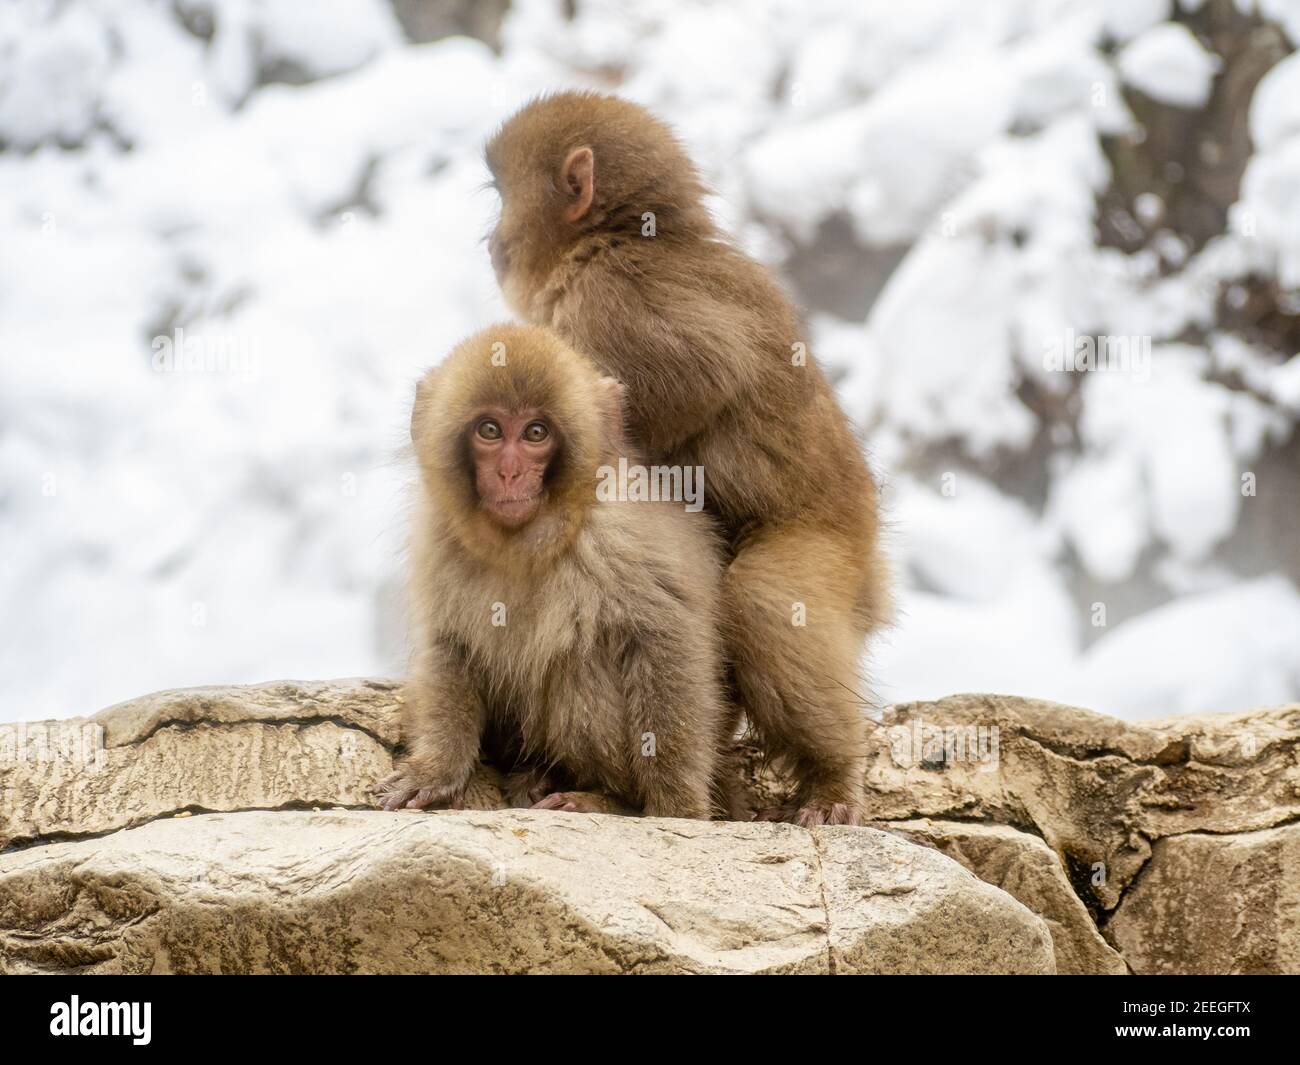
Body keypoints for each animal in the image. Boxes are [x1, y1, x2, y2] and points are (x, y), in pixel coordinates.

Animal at [374, 323, 737, 820]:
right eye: (490, 430)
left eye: (536, 433)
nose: (509, 473)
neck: (527, 538)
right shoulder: (440, 534)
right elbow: (451, 642)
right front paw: (438, 768)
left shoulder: (621, 536)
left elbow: (666, 639)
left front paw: (676, 806)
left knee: (578, 657)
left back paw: (606, 798)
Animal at [484, 92, 892, 827]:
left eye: (501, 195)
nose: (489, 240)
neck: (623, 237)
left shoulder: (611, 298)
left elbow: (700, 376)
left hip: (834, 549)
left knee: (764, 600)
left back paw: (832, 780)